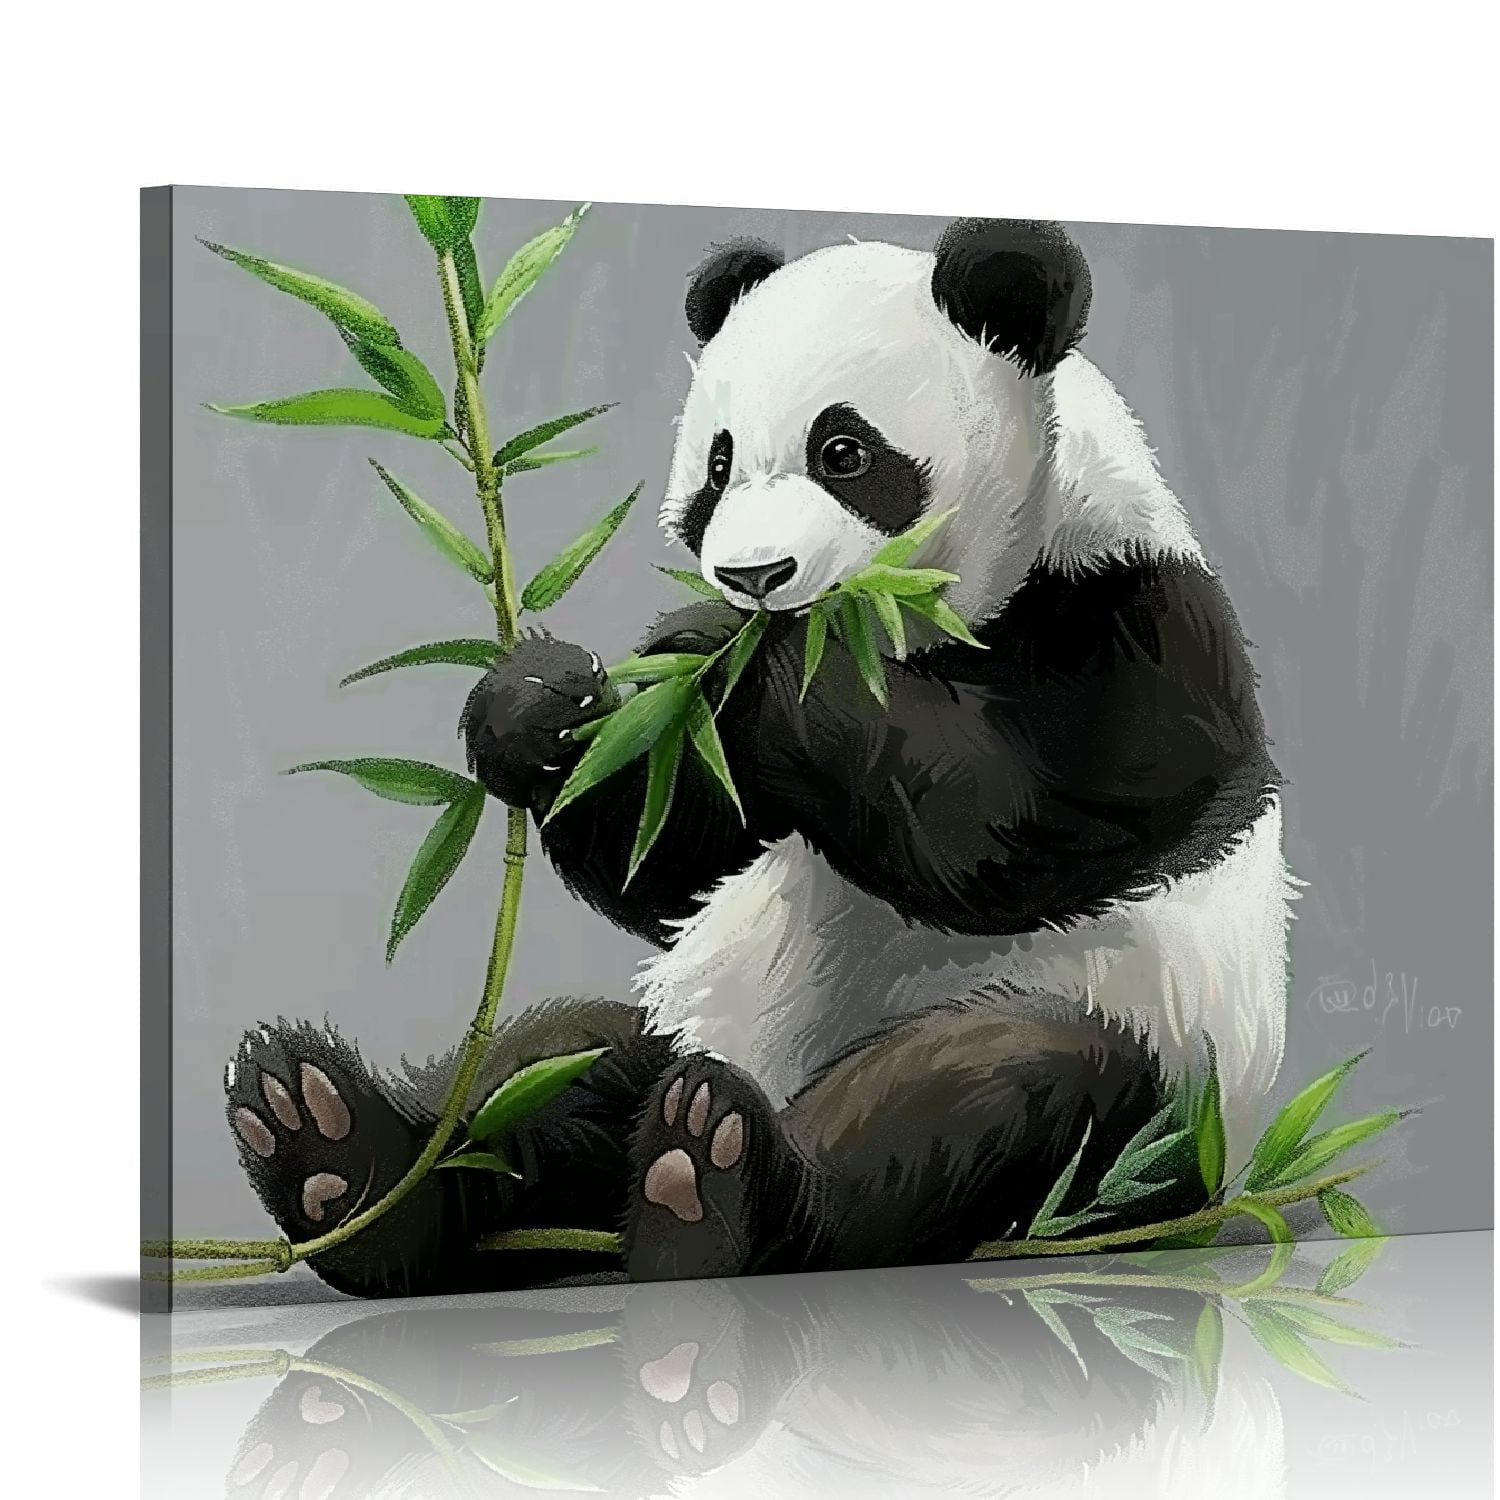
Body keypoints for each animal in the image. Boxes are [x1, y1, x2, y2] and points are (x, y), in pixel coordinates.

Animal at [223, 217, 1291, 1298]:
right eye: (719, 463)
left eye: (844, 451)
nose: (753, 577)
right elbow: (676, 856)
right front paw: (545, 705)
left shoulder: (1138, 638)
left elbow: (990, 830)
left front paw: (720, 651)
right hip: (667, 1041)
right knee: (554, 1067)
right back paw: (338, 1155)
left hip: (1152, 1086)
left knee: (994, 1089)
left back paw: (714, 1184)